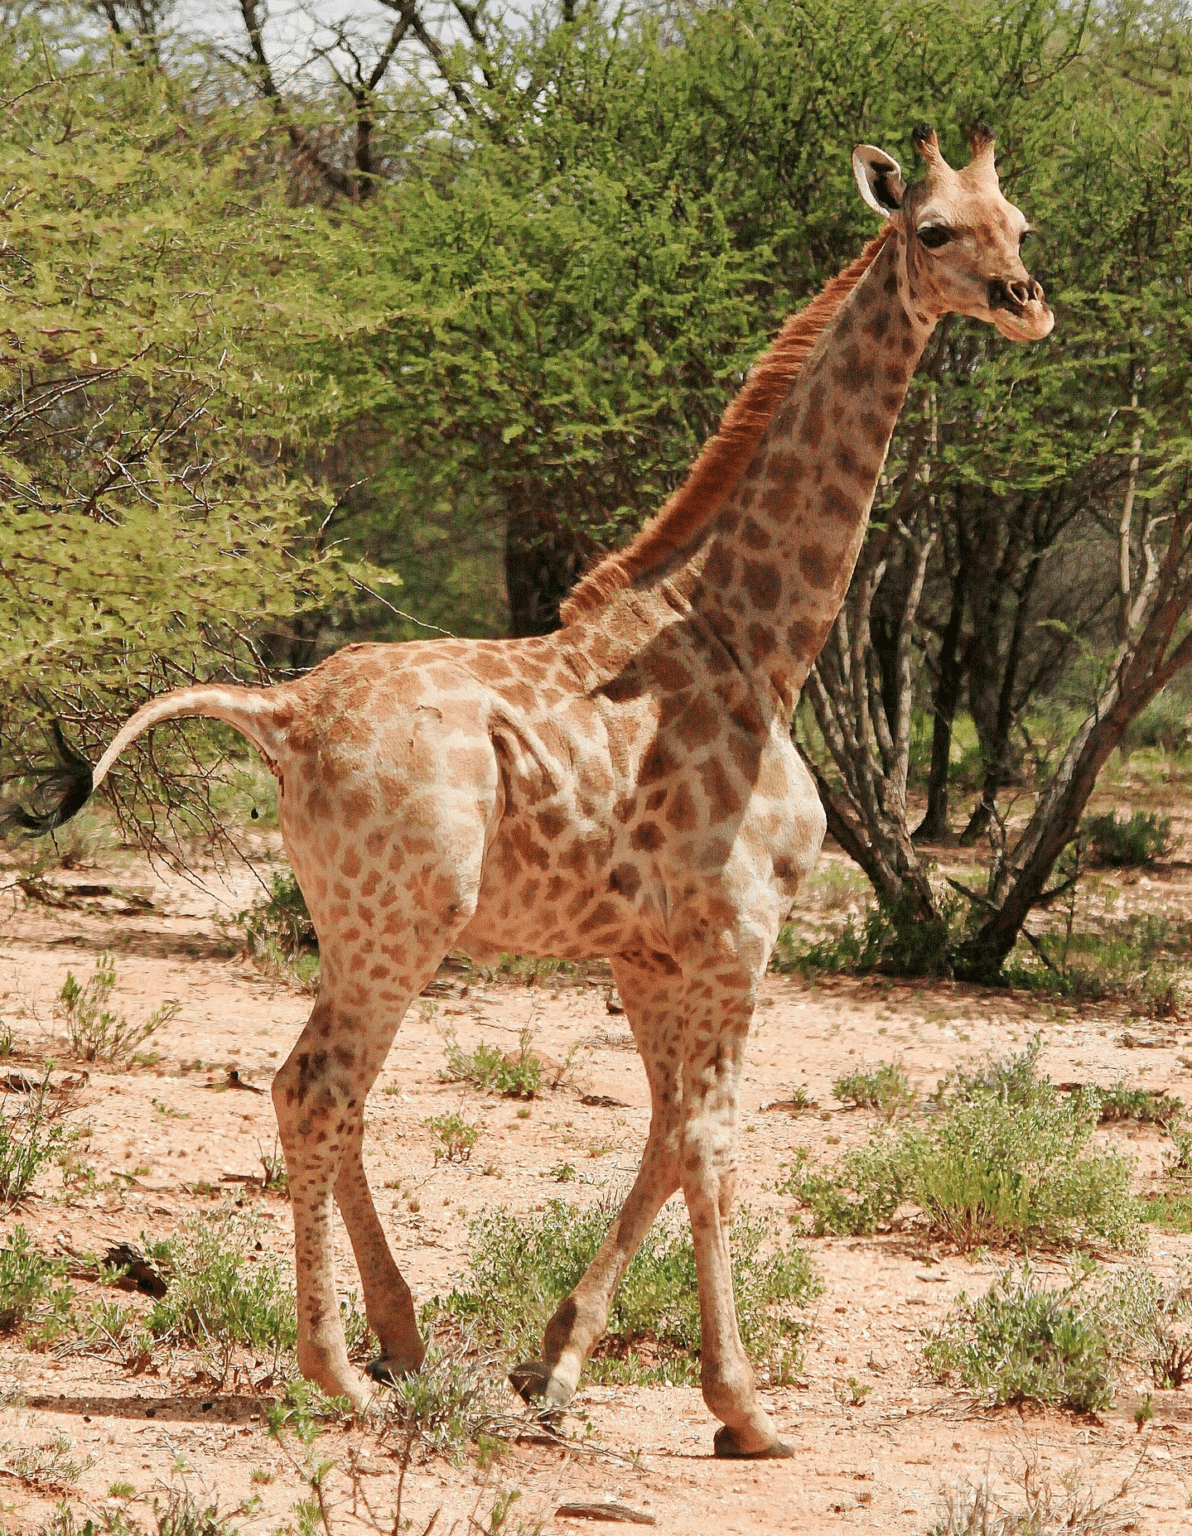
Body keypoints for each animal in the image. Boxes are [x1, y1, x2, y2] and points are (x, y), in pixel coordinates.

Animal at [5, 124, 1051, 1458]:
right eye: (932, 229)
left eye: (1018, 222)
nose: (1024, 302)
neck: (757, 639)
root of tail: (281, 715)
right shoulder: (739, 934)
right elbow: (710, 1142)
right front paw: (743, 1410)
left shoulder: (648, 949)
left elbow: (663, 1134)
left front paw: (552, 1368)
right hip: (407, 920)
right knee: (315, 1089)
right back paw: (338, 1375)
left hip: (353, 920)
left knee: (335, 1094)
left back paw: (397, 1343)